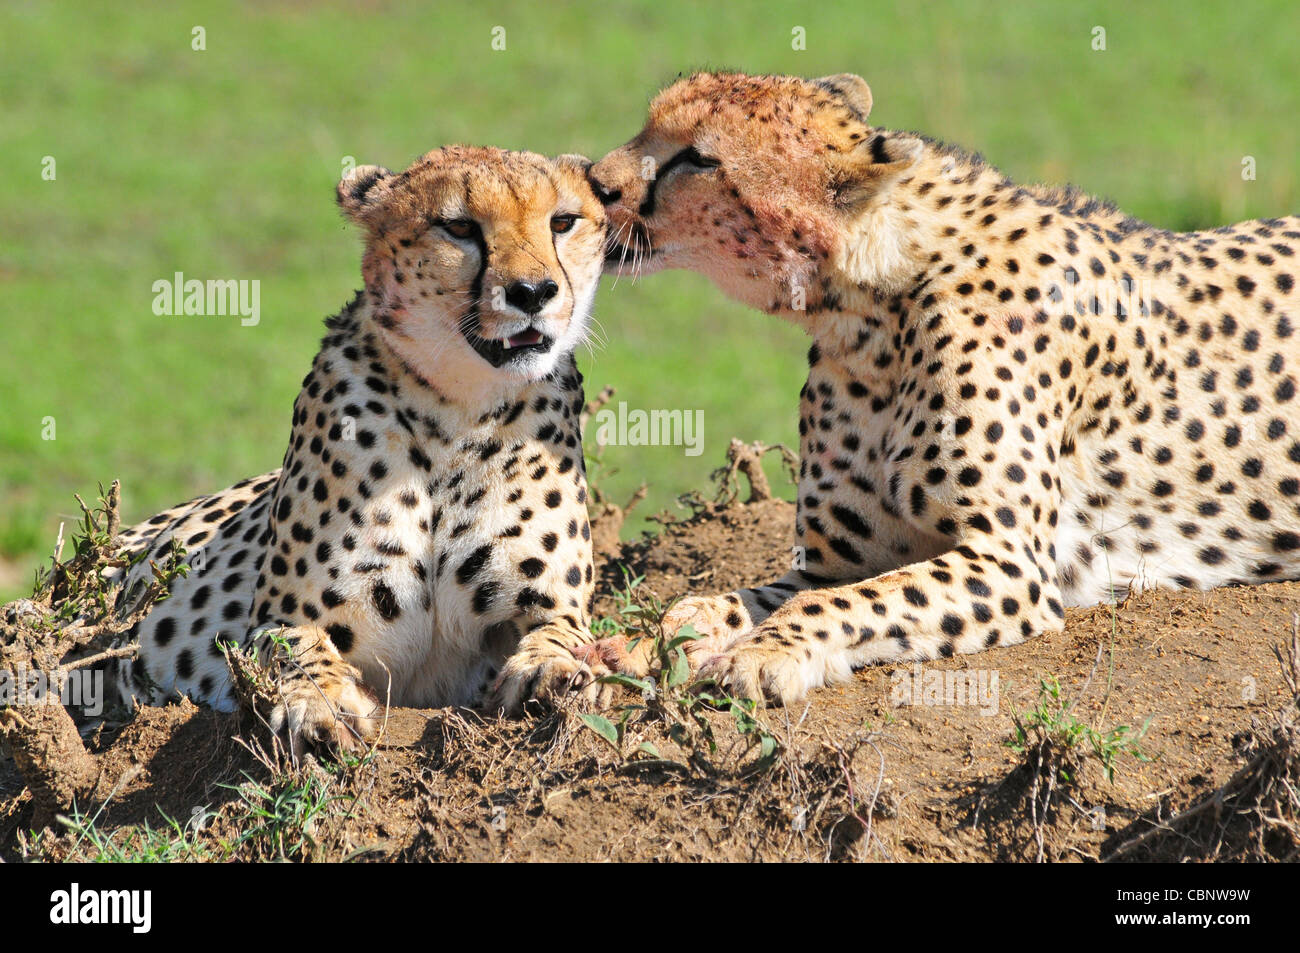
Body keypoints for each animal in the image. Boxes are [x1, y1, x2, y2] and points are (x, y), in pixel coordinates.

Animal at [109, 145, 611, 753]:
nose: (533, 293)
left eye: (562, 222)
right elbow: (297, 651)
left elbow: (564, 632)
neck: (457, 406)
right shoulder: (280, 619)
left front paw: (554, 671)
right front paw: (319, 703)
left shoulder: (548, 605)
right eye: (459, 227)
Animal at [582, 70, 1300, 705]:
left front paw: (762, 654)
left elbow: (838, 602)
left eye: (697, 158)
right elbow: (726, 600)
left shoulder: (1012, 564)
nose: (593, 183)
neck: (871, 307)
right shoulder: (834, 560)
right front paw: (645, 645)